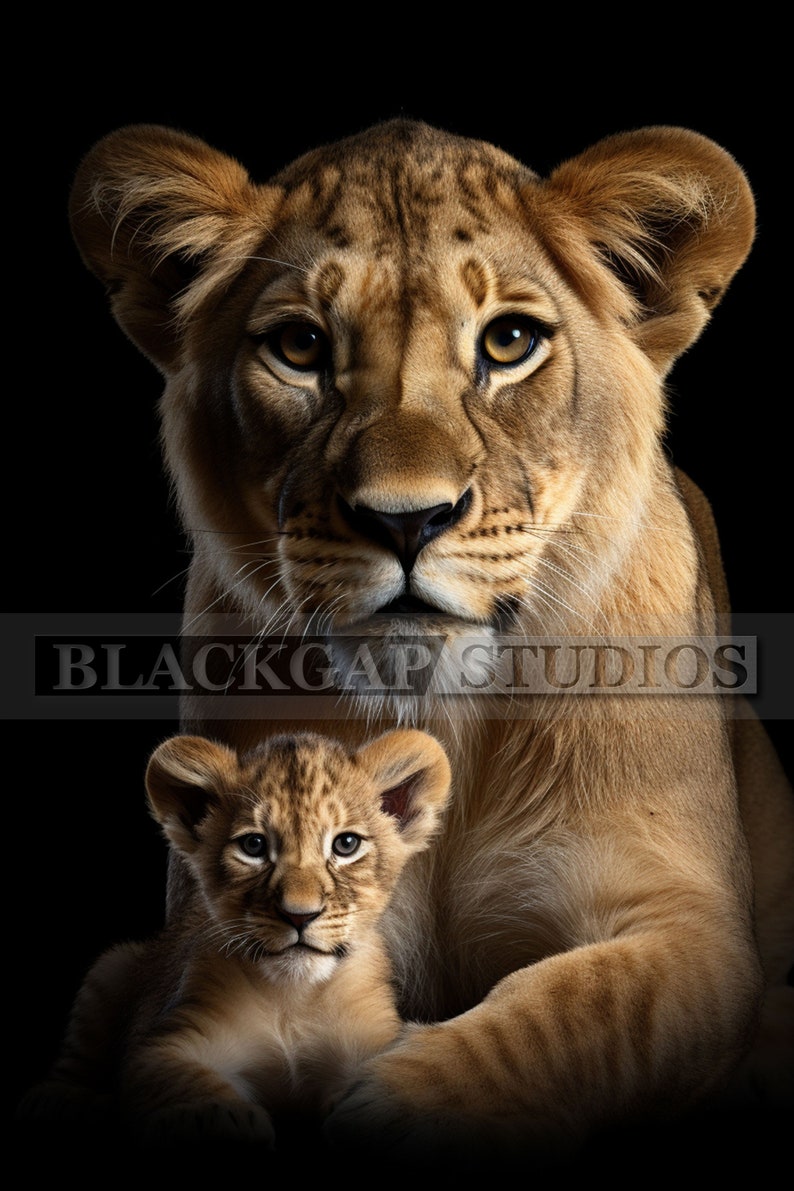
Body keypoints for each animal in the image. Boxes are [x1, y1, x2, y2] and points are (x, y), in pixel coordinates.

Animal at [67, 119, 793, 1162]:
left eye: (509, 340)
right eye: (300, 345)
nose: (405, 520)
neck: (442, 712)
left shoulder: (688, 923)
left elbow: (572, 1005)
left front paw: (388, 1103)